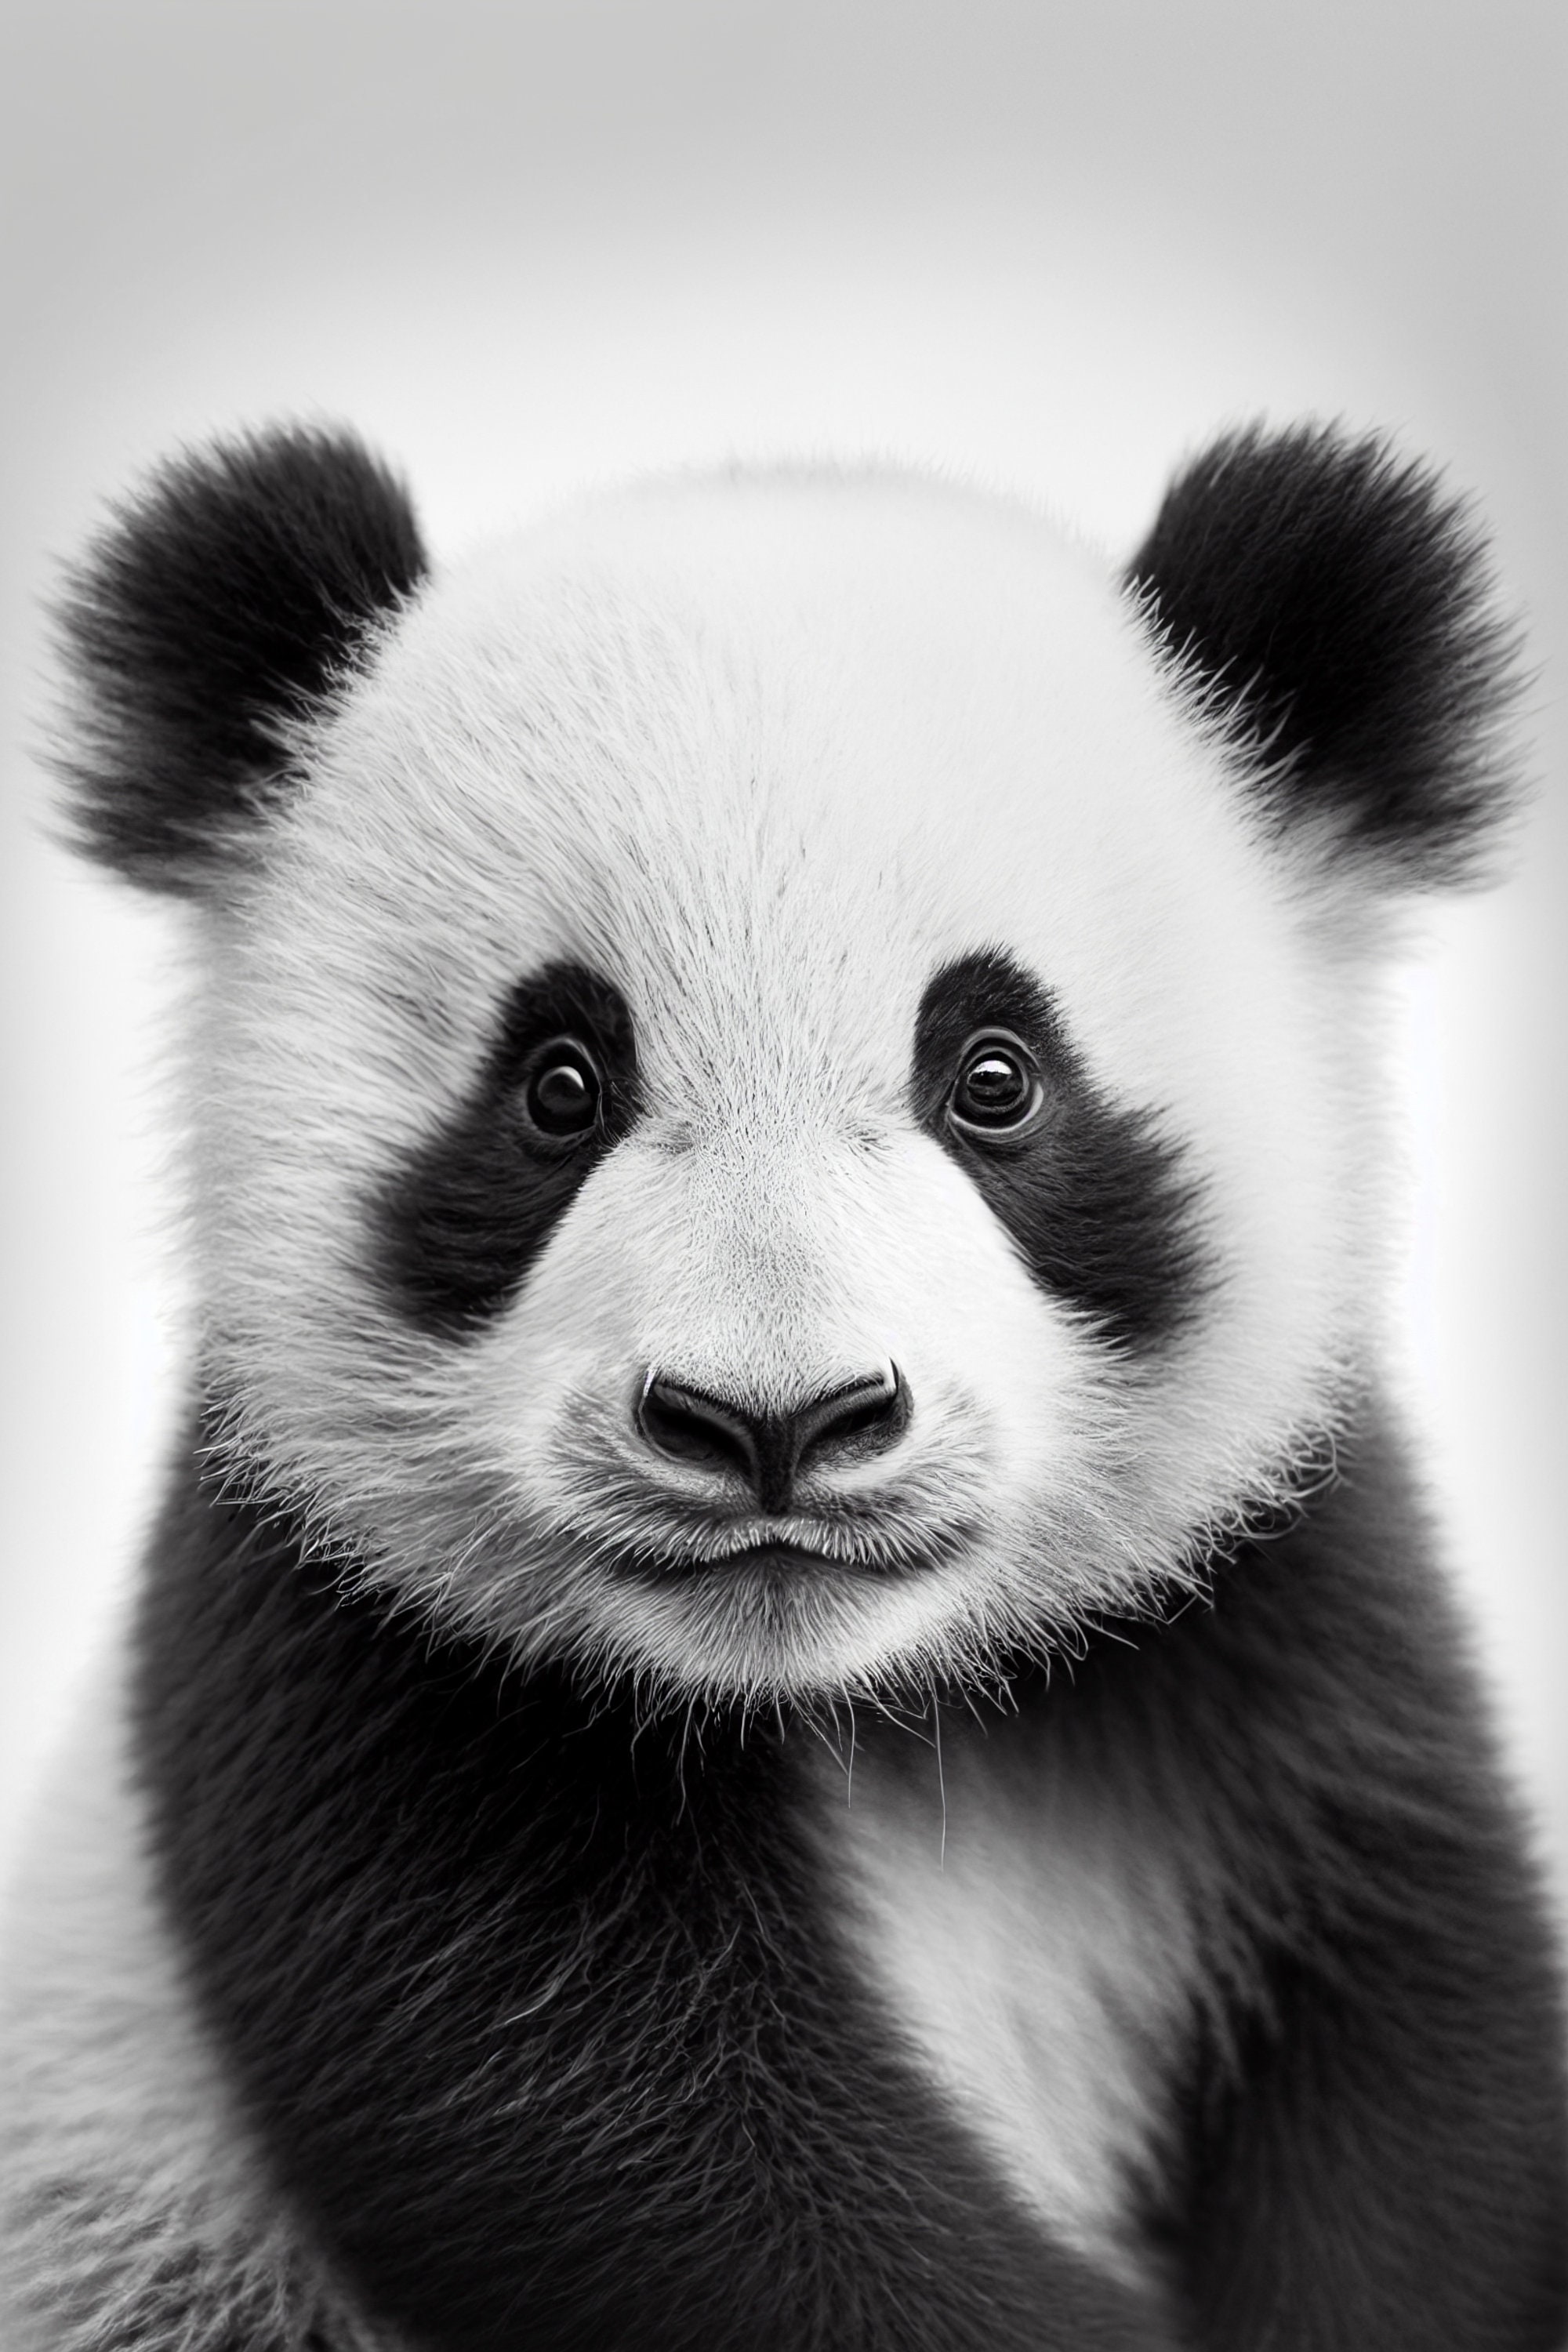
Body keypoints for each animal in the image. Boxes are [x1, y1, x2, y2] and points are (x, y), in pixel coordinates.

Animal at [1, 419, 1564, 2352]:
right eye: (558, 1085)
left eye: (995, 1076)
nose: (775, 1426)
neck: (870, 1706)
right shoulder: (354, 1645)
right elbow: (611, 2125)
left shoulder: (1273, 1620)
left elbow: (1410, 2034)